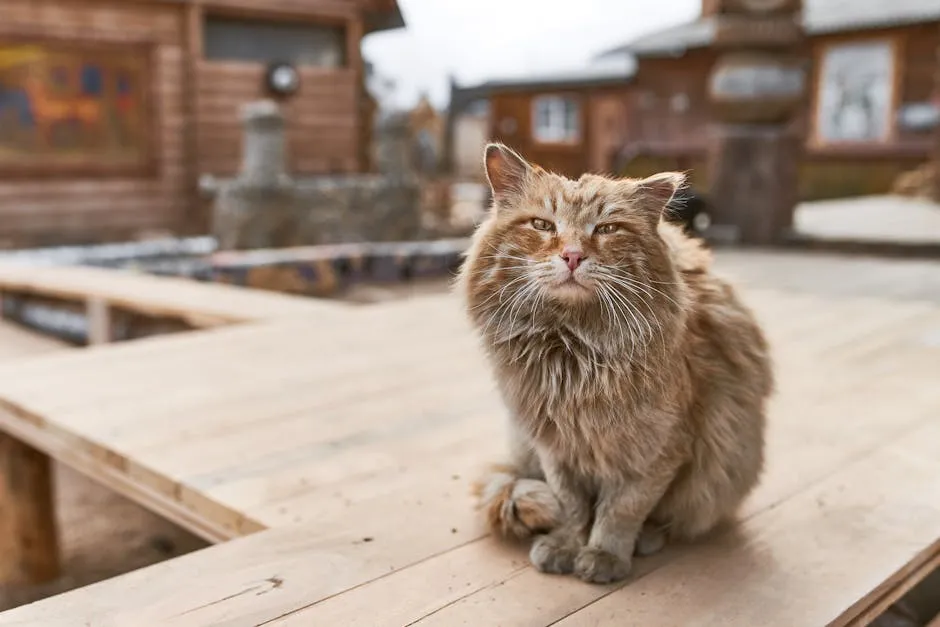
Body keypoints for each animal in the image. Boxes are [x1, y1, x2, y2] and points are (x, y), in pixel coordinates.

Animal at [458, 142, 776, 584]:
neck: (573, 353)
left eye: (607, 229)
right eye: (542, 225)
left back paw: (647, 541)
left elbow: (622, 510)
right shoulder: (554, 448)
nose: (572, 256)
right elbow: (571, 506)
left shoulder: (657, 452)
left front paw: (604, 555)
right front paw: (566, 545)